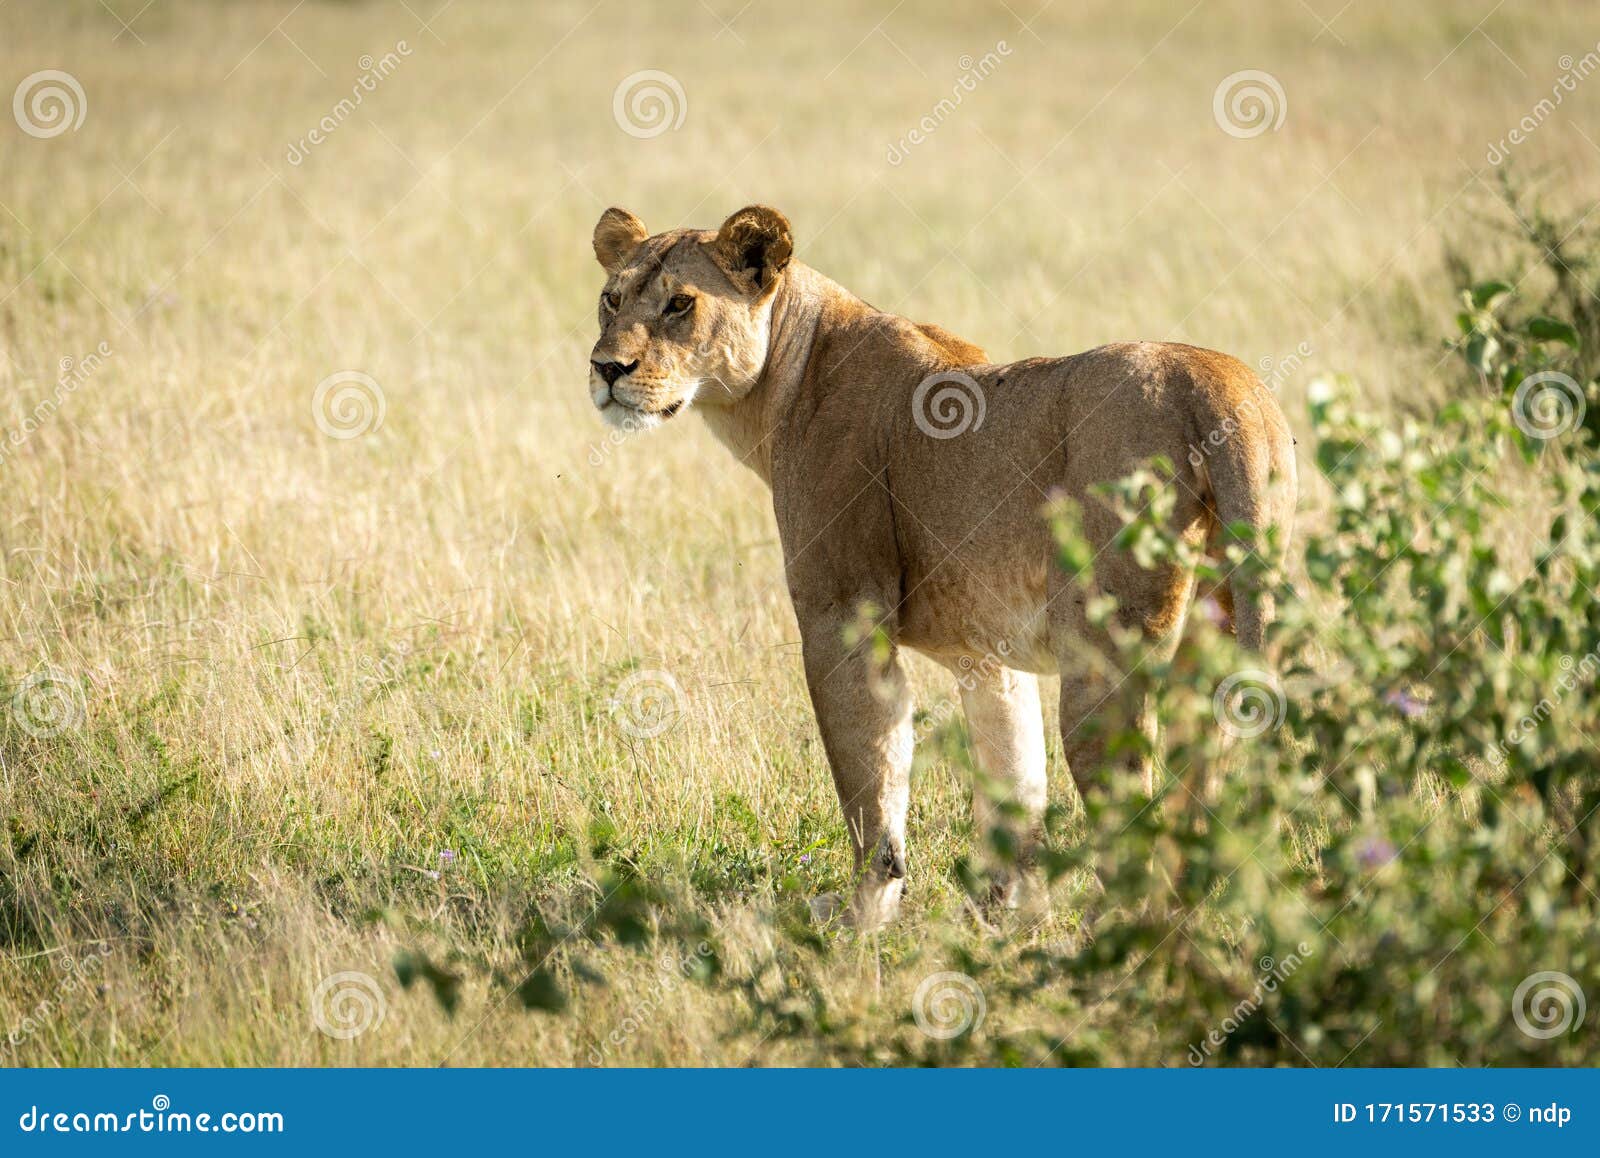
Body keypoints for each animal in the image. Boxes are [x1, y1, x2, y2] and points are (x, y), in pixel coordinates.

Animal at [587, 204, 1296, 928]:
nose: (606, 368)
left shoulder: (843, 616)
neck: (786, 381)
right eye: (611, 299)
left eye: (679, 303)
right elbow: (1013, 777)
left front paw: (863, 920)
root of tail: (1219, 384)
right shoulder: (986, 657)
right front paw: (1005, 917)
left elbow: (871, 781)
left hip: (1103, 663)